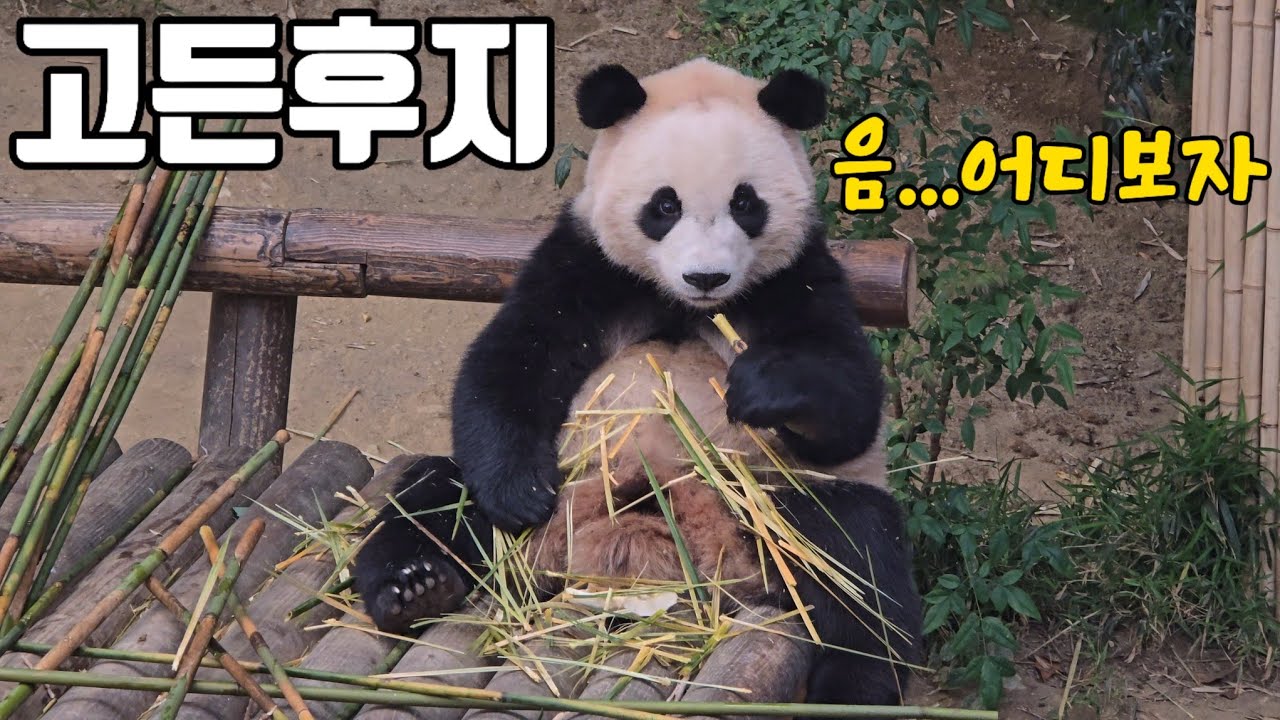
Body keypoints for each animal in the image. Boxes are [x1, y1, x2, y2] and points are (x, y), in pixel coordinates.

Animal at [354, 57, 923, 709]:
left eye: (746, 203)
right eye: (664, 206)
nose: (707, 276)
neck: (679, 302)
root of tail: (638, 553)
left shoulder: (800, 275)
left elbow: (851, 403)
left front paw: (763, 387)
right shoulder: (586, 264)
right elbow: (510, 361)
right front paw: (517, 490)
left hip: (768, 502)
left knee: (856, 559)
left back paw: (855, 689)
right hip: (563, 491)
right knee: (436, 495)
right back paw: (415, 587)